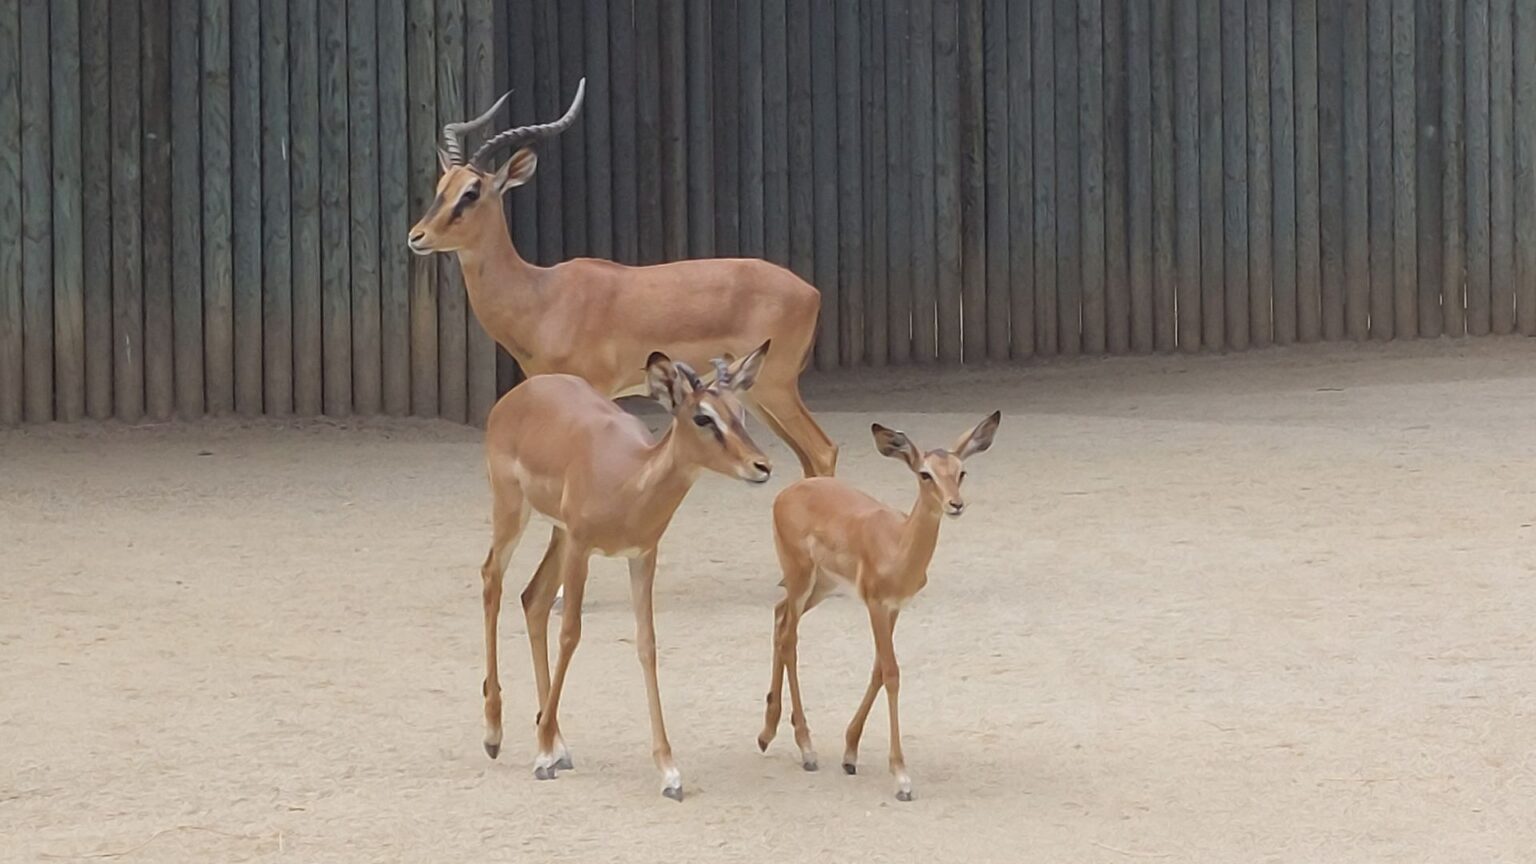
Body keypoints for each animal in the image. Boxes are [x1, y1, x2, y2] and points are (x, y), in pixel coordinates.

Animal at [408, 79, 838, 479]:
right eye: (441, 187)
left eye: (472, 191)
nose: (417, 236)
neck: (541, 295)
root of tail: (811, 291)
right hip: (752, 393)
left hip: (775, 387)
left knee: (822, 451)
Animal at [478, 342, 773, 801]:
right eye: (703, 416)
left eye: (739, 412)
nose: (761, 466)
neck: (628, 479)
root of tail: (518, 395)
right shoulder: (582, 548)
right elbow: (571, 634)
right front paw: (540, 758)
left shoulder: (642, 556)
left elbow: (647, 644)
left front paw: (670, 772)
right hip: (513, 511)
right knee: (493, 578)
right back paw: (495, 735)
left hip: (557, 534)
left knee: (533, 600)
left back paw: (558, 743)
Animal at [757, 412, 1001, 802]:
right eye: (925, 473)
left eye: (961, 471)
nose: (956, 504)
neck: (897, 546)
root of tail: (785, 494)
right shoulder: (874, 604)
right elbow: (891, 673)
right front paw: (901, 777)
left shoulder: (894, 608)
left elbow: (877, 669)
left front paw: (850, 754)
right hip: (800, 577)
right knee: (788, 639)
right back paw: (805, 748)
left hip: (820, 586)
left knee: (780, 618)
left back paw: (768, 735)